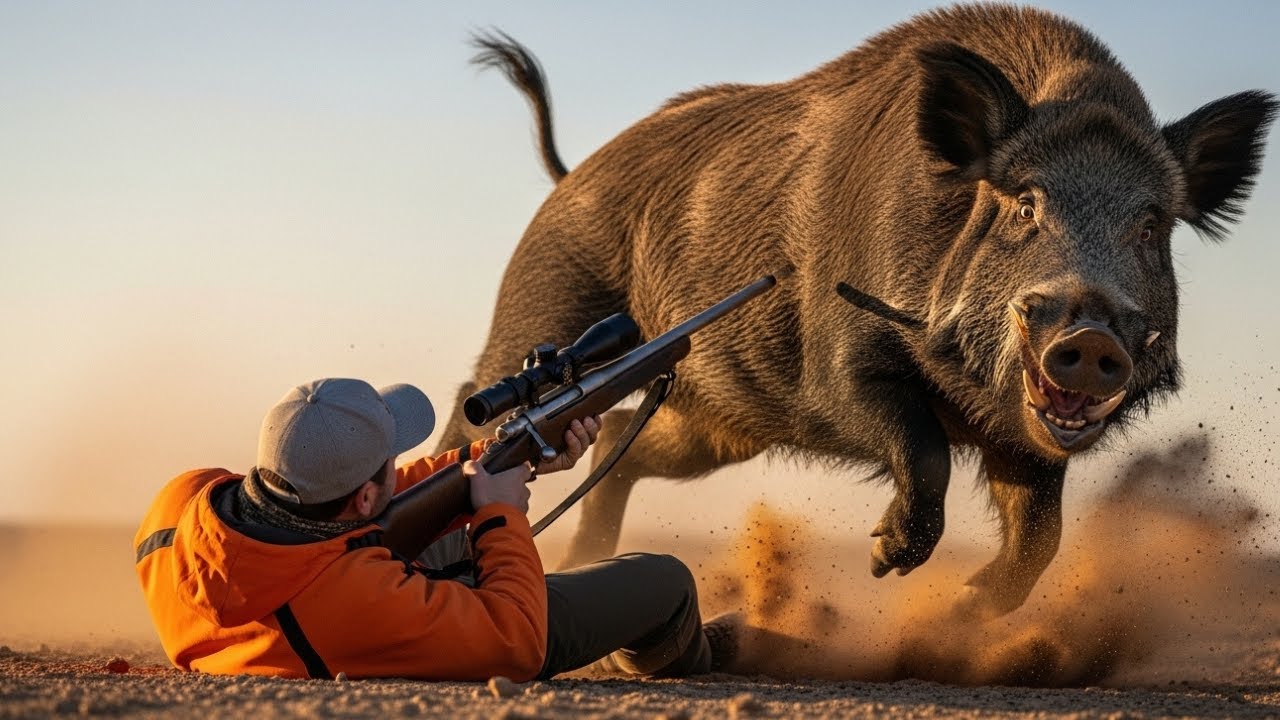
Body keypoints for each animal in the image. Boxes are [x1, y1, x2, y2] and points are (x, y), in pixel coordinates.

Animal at [438, 4, 1276, 618]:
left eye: (1151, 226)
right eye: (1025, 205)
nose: (1093, 331)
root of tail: (568, 175)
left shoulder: (1025, 436)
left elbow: (1041, 531)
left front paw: (962, 612)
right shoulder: (836, 367)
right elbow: (923, 450)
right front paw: (883, 563)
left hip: (719, 423)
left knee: (619, 435)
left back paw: (587, 557)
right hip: (549, 301)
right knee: (477, 405)